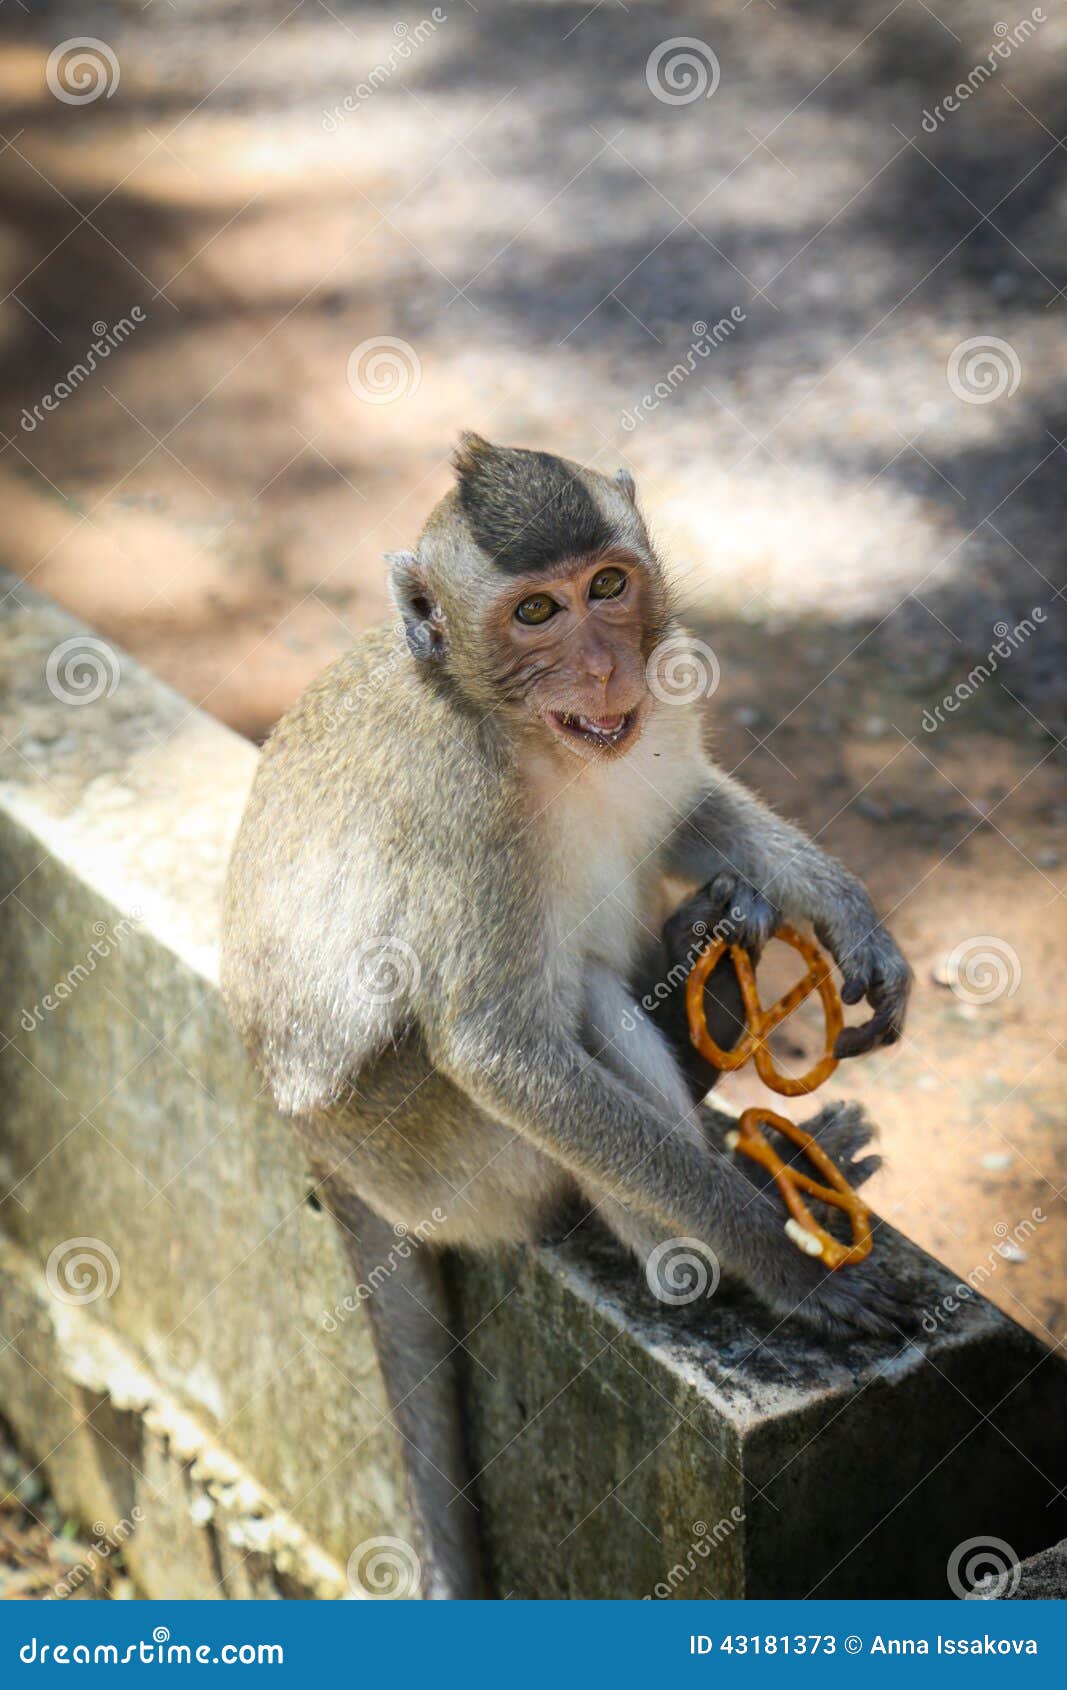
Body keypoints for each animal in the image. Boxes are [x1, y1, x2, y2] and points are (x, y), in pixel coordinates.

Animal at [220, 435, 913, 1598]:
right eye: (535, 613)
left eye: (607, 588)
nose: (601, 669)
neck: (523, 732)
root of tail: (301, 1130)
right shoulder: (462, 811)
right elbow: (494, 1051)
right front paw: (776, 1261)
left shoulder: (662, 700)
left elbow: (689, 814)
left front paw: (851, 916)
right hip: (421, 1152)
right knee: (564, 1019)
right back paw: (688, 1260)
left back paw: (719, 997)